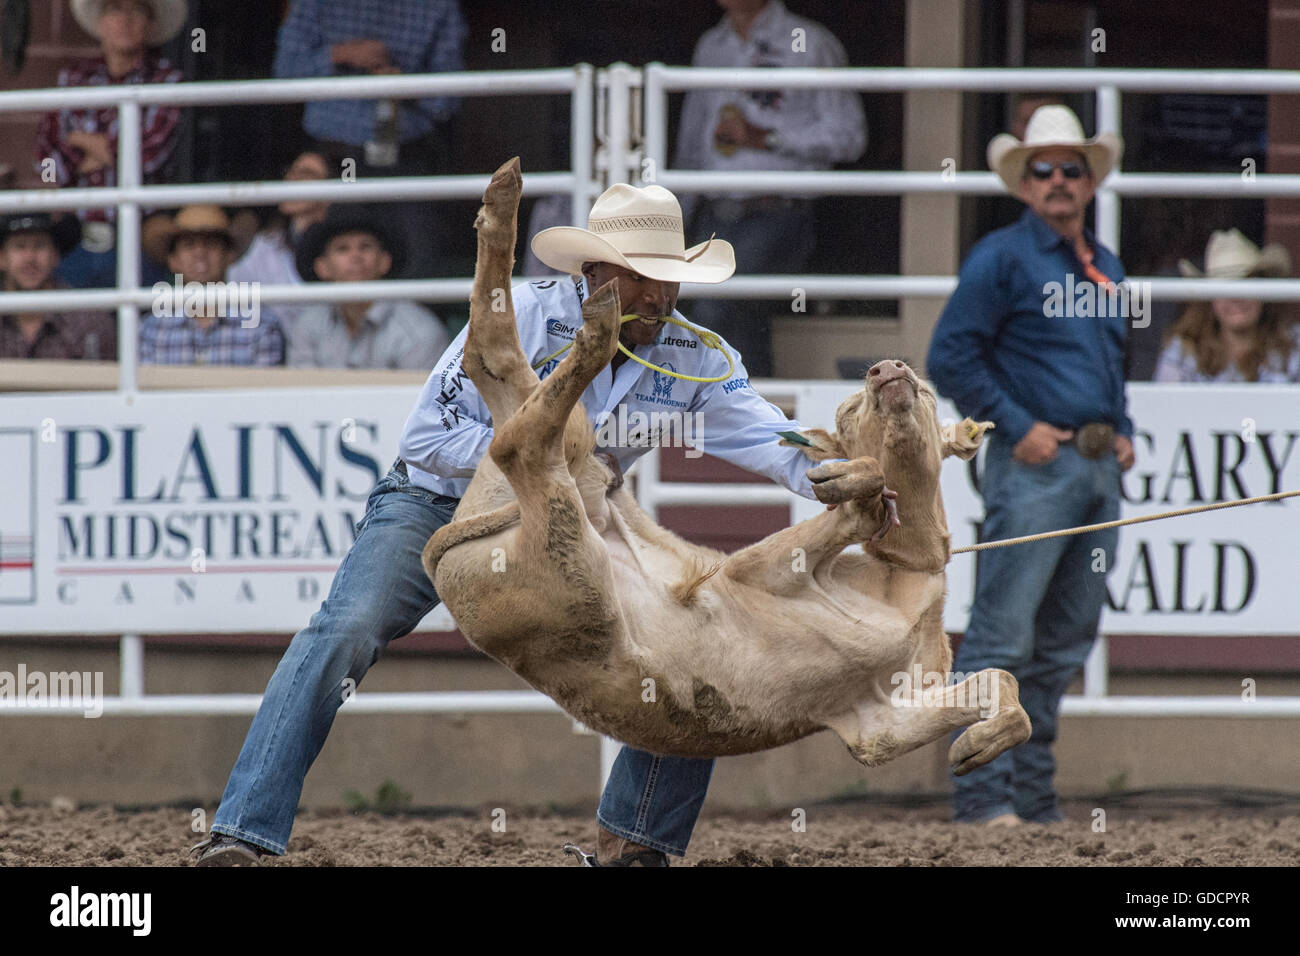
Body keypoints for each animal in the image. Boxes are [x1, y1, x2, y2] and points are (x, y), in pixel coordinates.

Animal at [422, 158, 1031, 776]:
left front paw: (976, 746)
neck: (907, 575)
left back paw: (513, 213)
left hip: (564, 490)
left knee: (494, 365)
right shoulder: (755, 572)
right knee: (519, 440)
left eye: (928, 395)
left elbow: (998, 685)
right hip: (571, 567)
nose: (888, 369)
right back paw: (593, 321)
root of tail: (448, 542)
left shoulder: (878, 720)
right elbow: (846, 506)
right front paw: (849, 484)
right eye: (849, 407)